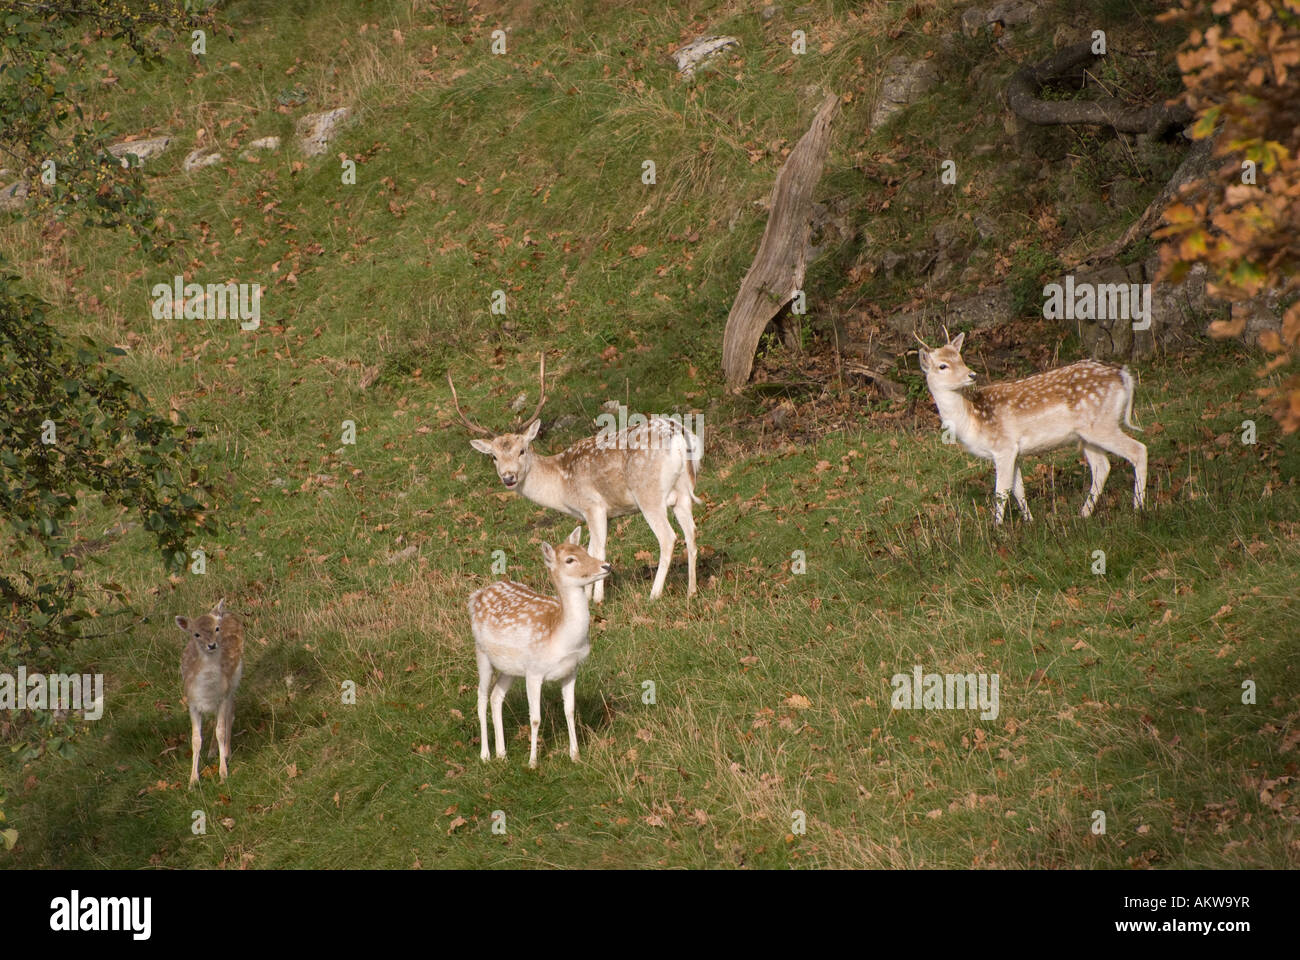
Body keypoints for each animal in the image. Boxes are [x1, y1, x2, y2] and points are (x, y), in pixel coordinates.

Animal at [176, 598, 244, 788]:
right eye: (196, 634)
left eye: (216, 628)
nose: (212, 645)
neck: (206, 691)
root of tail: (224, 612)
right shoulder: (192, 703)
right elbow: (196, 739)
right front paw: (193, 780)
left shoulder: (223, 697)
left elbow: (221, 730)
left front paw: (223, 773)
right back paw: (213, 751)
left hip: (234, 682)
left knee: (230, 714)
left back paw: (226, 752)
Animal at [449, 354, 702, 602]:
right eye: (494, 456)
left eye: (522, 450)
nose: (508, 477)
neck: (561, 487)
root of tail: (679, 434)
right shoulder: (603, 513)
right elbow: (588, 550)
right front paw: (586, 591)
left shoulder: (593, 506)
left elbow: (598, 549)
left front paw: (596, 599)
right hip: (682, 492)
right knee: (691, 533)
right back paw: (692, 591)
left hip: (648, 493)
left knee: (668, 537)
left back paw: (653, 595)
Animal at [469, 526, 612, 768]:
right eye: (570, 559)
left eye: (584, 550)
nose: (606, 566)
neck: (561, 638)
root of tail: (474, 596)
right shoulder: (534, 672)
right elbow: (535, 719)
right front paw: (533, 762)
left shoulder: (571, 670)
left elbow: (569, 711)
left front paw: (575, 755)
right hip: (482, 653)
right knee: (481, 697)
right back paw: (485, 755)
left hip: (511, 668)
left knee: (496, 696)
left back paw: (502, 753)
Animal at [916, 331, 1146, 524]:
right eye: (942, 365)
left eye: (960, 358)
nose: (971, 375)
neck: (973, 419)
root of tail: (1124, 375)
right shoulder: (1014, 452)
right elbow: (1018, 490)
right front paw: (1029, 521)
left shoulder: (1004, 446)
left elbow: (1001, 491)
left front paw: (996, 528)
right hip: (1087, 435)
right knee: (1102, 466)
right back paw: (1083, 514)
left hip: (1101, 424)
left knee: (1138, 450)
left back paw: (1139, 508)